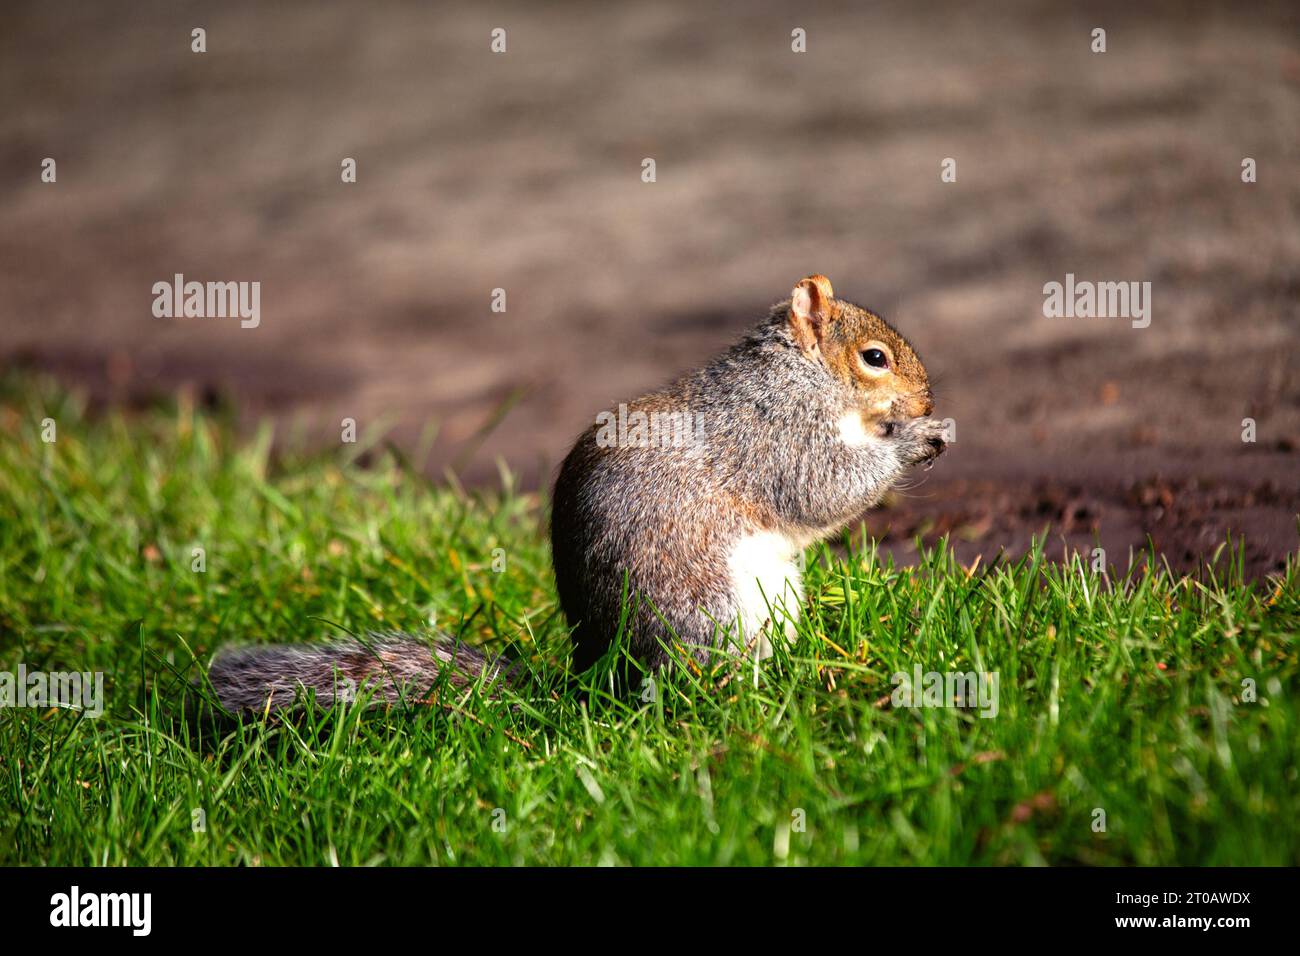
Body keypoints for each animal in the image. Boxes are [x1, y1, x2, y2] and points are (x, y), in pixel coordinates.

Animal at [206, 275, 946, 712]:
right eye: (874, 358)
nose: (926, 400)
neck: (800, 375)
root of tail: (599, 681)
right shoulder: (772, 432)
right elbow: (818, 488)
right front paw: (913, 438)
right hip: (707, 608)